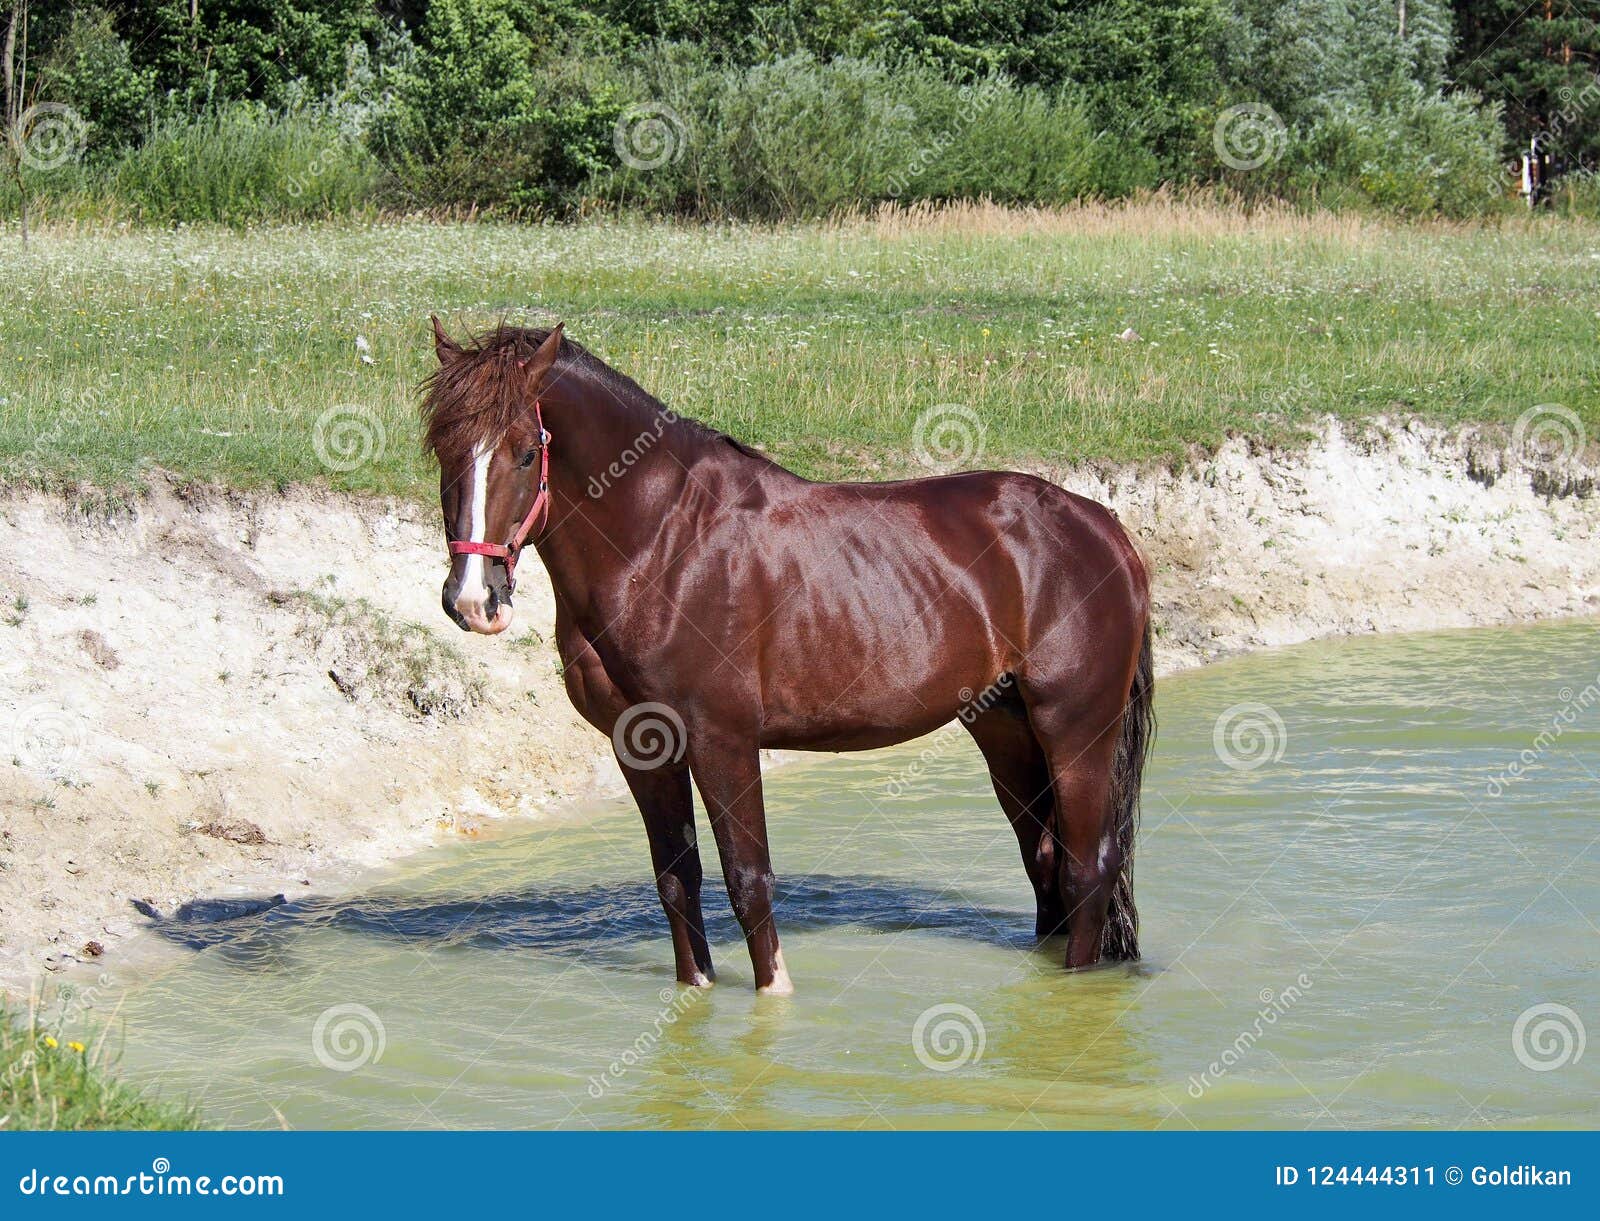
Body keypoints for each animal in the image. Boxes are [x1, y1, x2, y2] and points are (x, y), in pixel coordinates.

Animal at [421, 318, 1154, 994]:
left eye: (525, 454)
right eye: (442, 450)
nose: (474, 600)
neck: (663, 544)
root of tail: (1103, 527)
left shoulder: (722, 739)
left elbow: (748, 883)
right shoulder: (640, 747)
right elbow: (677, 883)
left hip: (1075, 730)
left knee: (1088, 867)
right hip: (1006, 729)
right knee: (1046, 862)